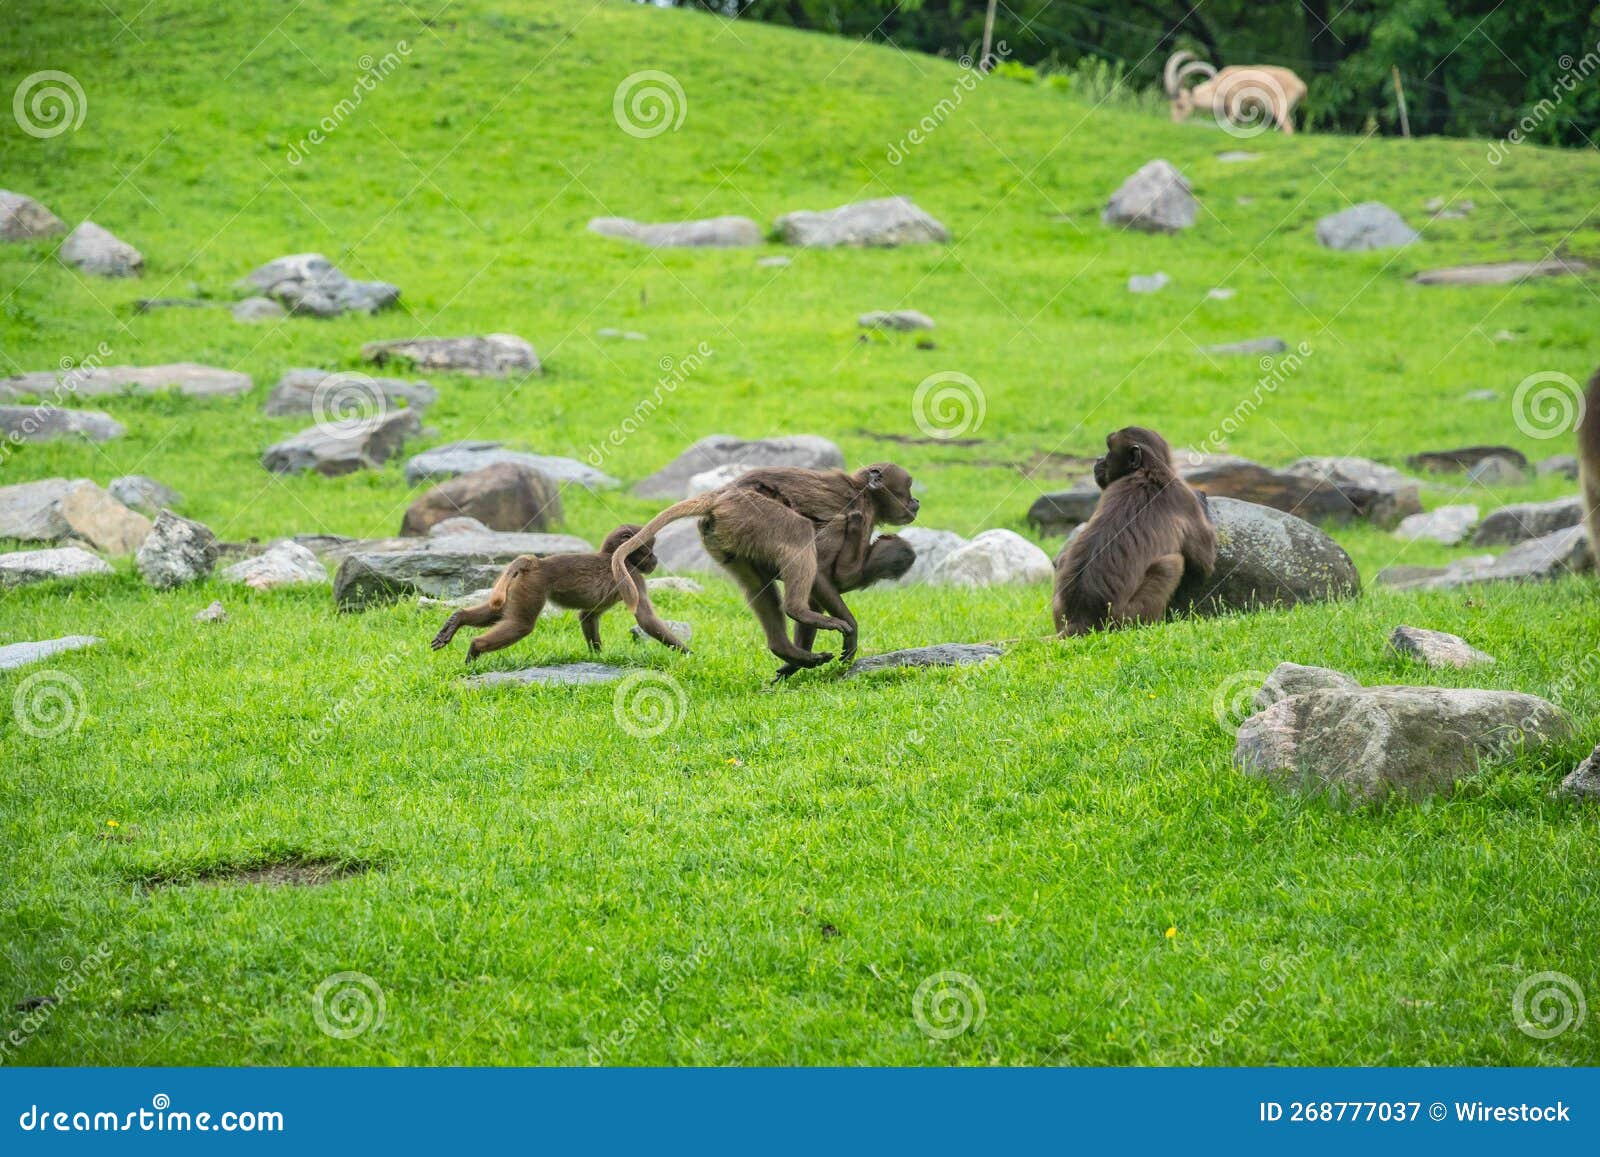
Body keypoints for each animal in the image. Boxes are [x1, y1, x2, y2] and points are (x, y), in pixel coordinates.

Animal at [431, 524, 688, 662]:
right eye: (649, 548)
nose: (655, 559)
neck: (614, 556)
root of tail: (536, 563)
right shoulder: (634, 576)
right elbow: (644, 617)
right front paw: (688, 655)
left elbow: (588, 615)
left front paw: (597, 657)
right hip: (533, 586)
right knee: (521, 625)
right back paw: (476, 647)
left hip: (518, 586)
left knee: (500, 612)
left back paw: (456, 620)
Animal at [611, 463, 920, 669]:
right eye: (908, 486)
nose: (916, 501)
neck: (864, 492)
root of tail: (721, 494)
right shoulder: (858, 515)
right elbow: (822, 571)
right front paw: (851, 631)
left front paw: (792, 666)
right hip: (752, 512)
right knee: (798, 532)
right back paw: (797, 610)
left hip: (729, 536)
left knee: (760, 587)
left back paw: (785, 650)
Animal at [1052, 427, 1216, 636]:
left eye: (1108, 452)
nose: (1098, 459)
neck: (1147, 471)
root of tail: (1083, 616)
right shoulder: (1184, 496)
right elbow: (1205, 564)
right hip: (1126, 617)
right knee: (1171, 564)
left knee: (1065, 557)